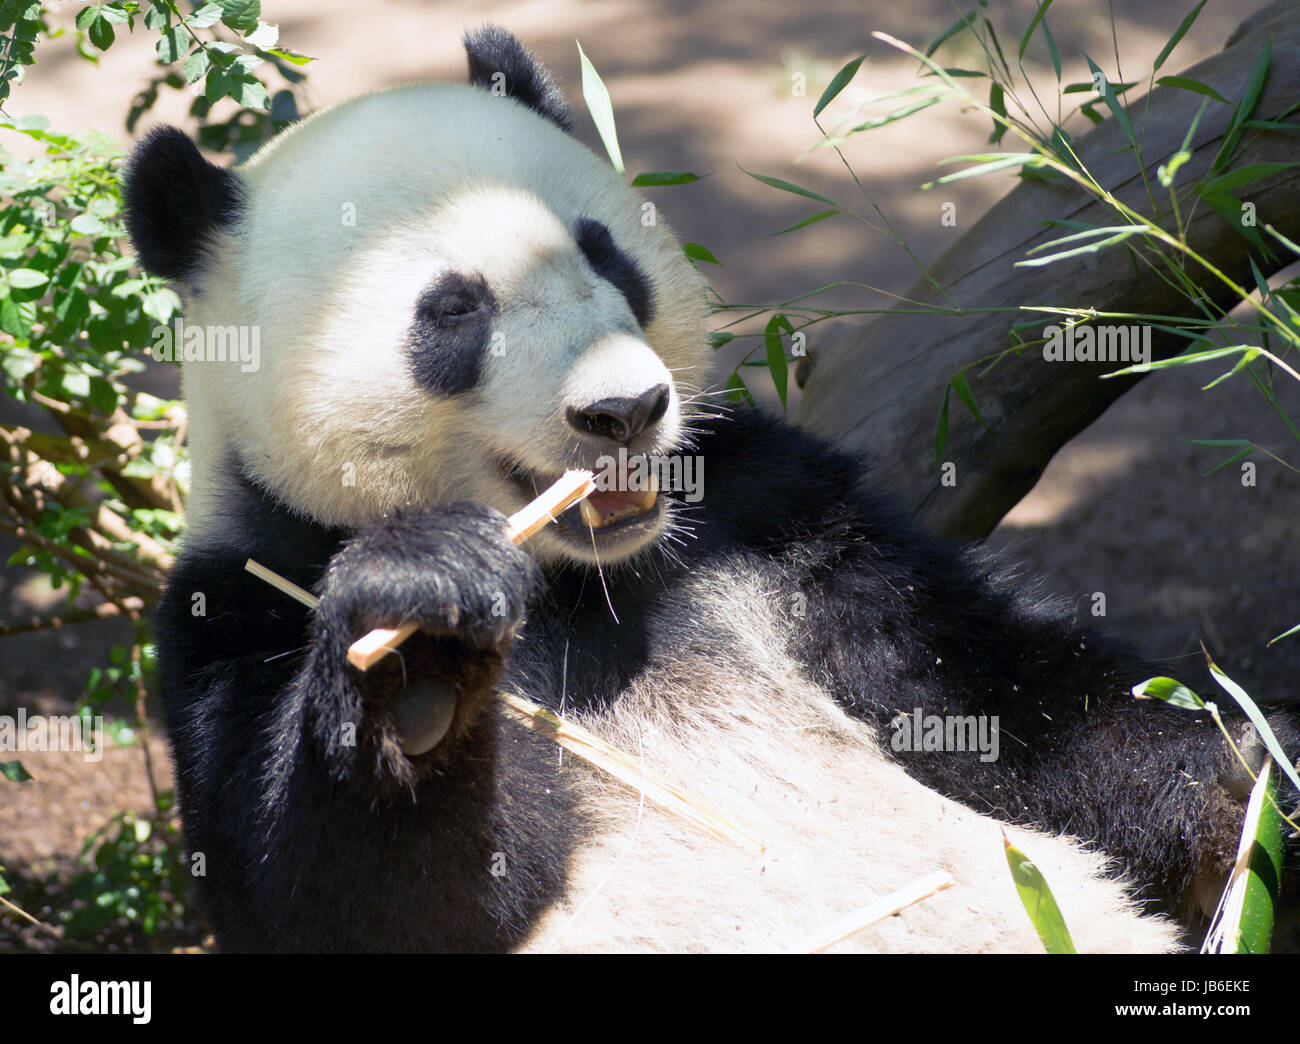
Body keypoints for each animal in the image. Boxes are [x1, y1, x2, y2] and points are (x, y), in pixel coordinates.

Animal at [121, 25, 1283, 953]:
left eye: (605, 255)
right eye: (452, 312)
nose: (623, 409)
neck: (587, 576)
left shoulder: (763, 517)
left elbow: (992, 702)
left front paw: (1243, 780)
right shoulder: (250, 593)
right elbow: (347, 896)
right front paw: (420, 654)